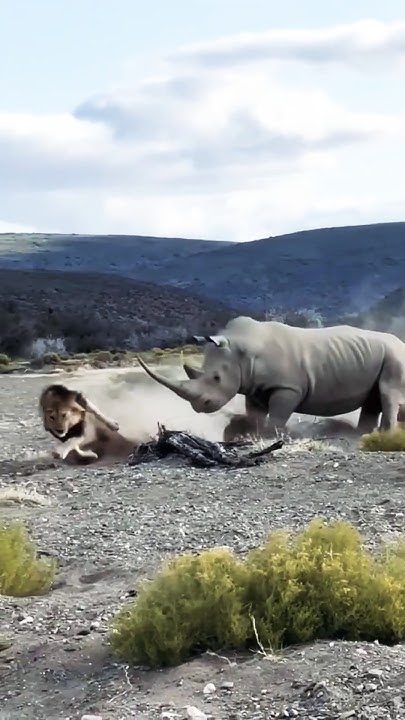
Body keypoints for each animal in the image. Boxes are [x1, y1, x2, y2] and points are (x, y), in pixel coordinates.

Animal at [137, 316, 405, 440]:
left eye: (216, 377)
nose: (200, 407)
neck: (242, 349)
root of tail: (400, 342)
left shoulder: (287, 388)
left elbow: (277, 415)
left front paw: (270, 437)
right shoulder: (254, 388)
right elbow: (254, 412)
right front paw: (252, 434)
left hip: (395, 356)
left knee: (388, 393)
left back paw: (384, 437)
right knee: (373, 399)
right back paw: (362, 435)